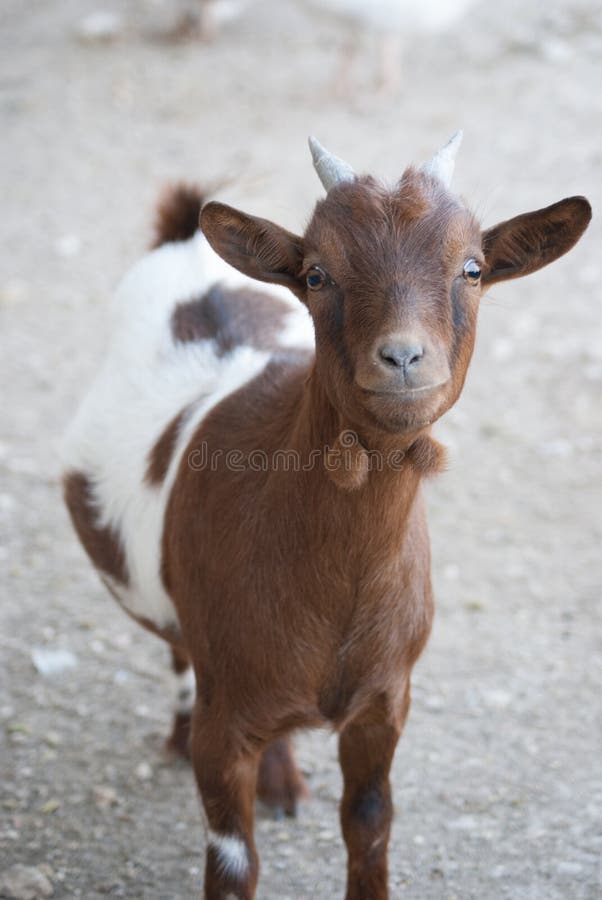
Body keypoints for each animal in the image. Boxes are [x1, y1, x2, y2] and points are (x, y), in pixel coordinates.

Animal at [62, 134, 591, 899]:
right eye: (317, 274)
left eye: (472, 269)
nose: (402, 356)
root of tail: (186, 238)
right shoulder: (224, 728)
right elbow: (233, 861)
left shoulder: (385, 703)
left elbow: (369, 824)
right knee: (180, 652)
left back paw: (283, 781)